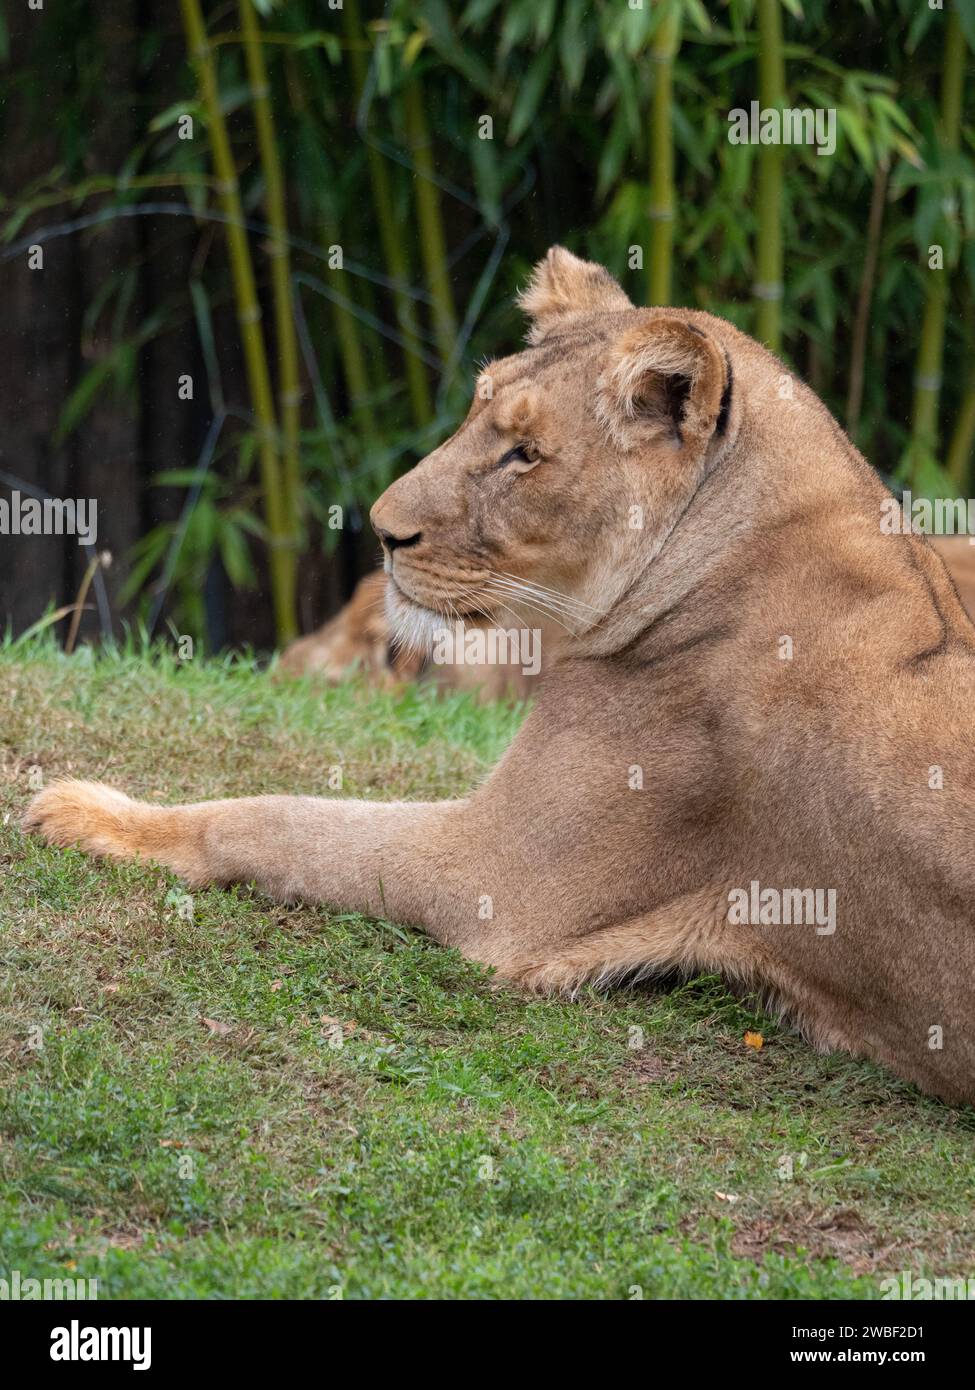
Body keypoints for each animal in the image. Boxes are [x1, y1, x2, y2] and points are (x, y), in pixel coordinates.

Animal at [25, 247, 975, 1104]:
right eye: (474, 413)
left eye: (524, 454)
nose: (382, 532)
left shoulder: (494, 875)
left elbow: (278, 821)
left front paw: (87, 814)